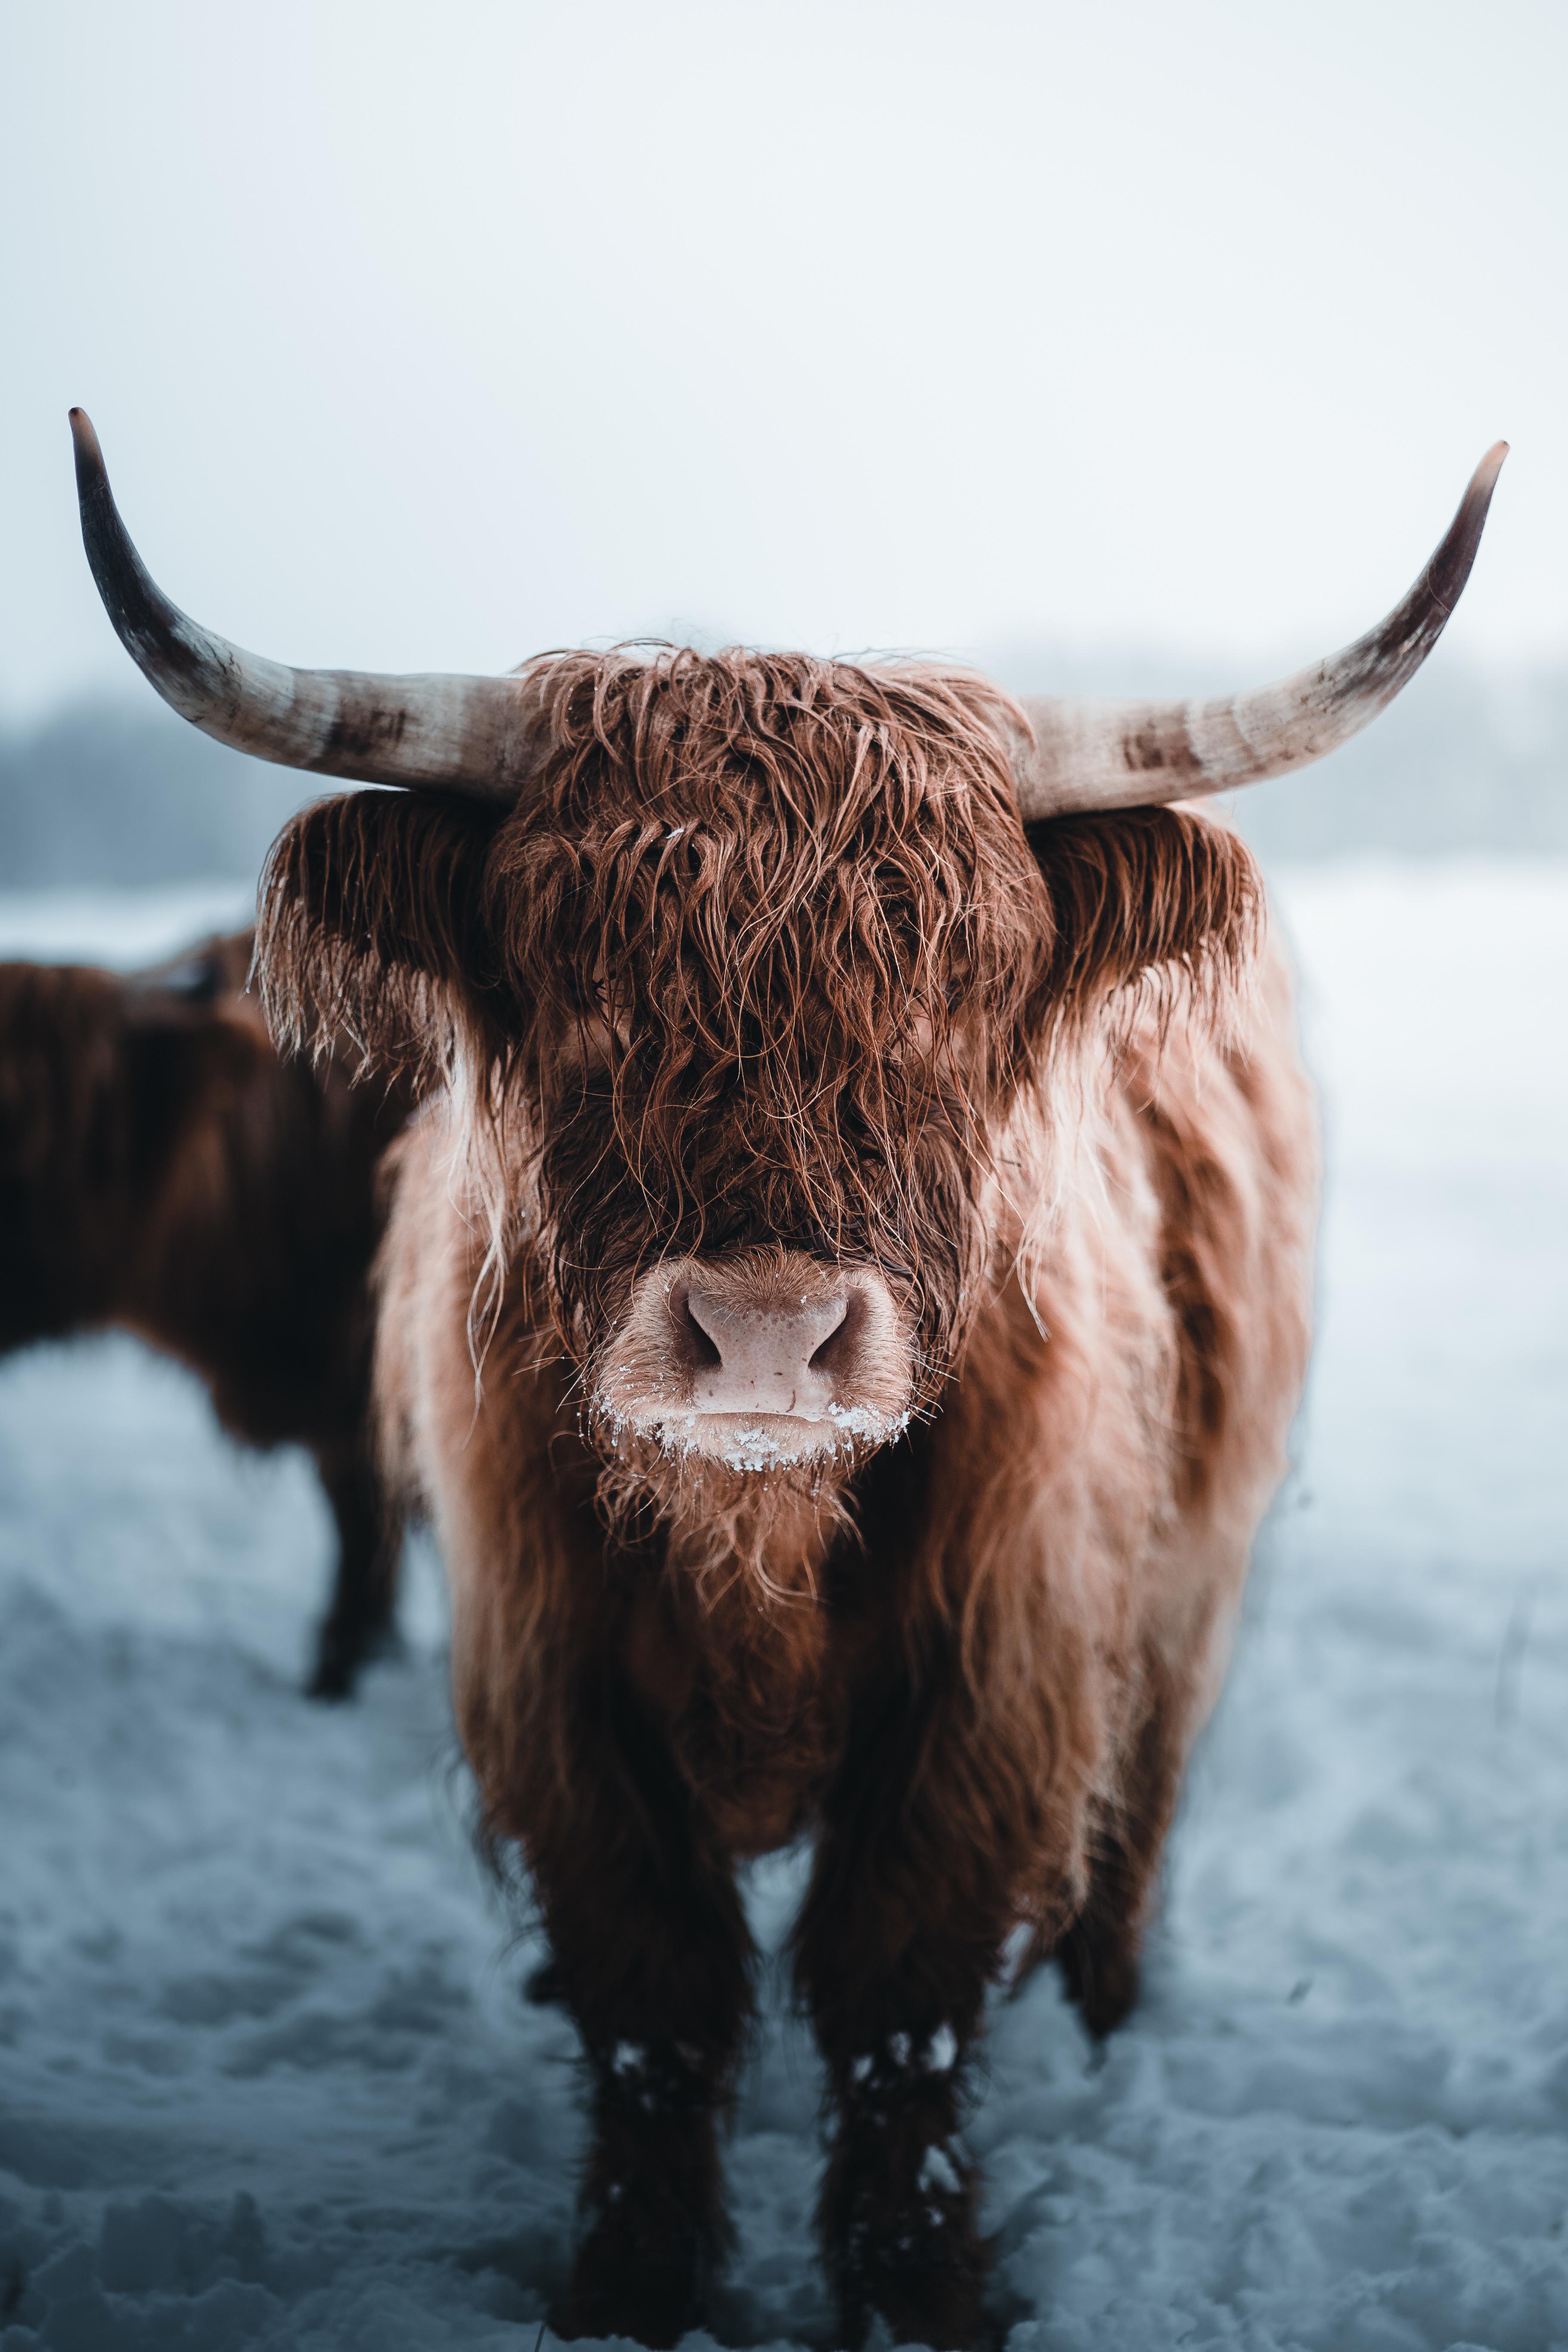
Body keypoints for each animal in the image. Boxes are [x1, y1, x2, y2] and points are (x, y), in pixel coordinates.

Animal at [69, 406, 1503, 2345]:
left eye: (958, 991)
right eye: (580, 988)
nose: (764, 1329)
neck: (751, 1537)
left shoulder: (993, 1673)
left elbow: (900, 1998)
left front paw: (918, 2286)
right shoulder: (554, 1673)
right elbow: (651, 1996)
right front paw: (635, 2279)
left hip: (1186, 1591)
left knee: (1132, 1829)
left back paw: (1107, 2030)